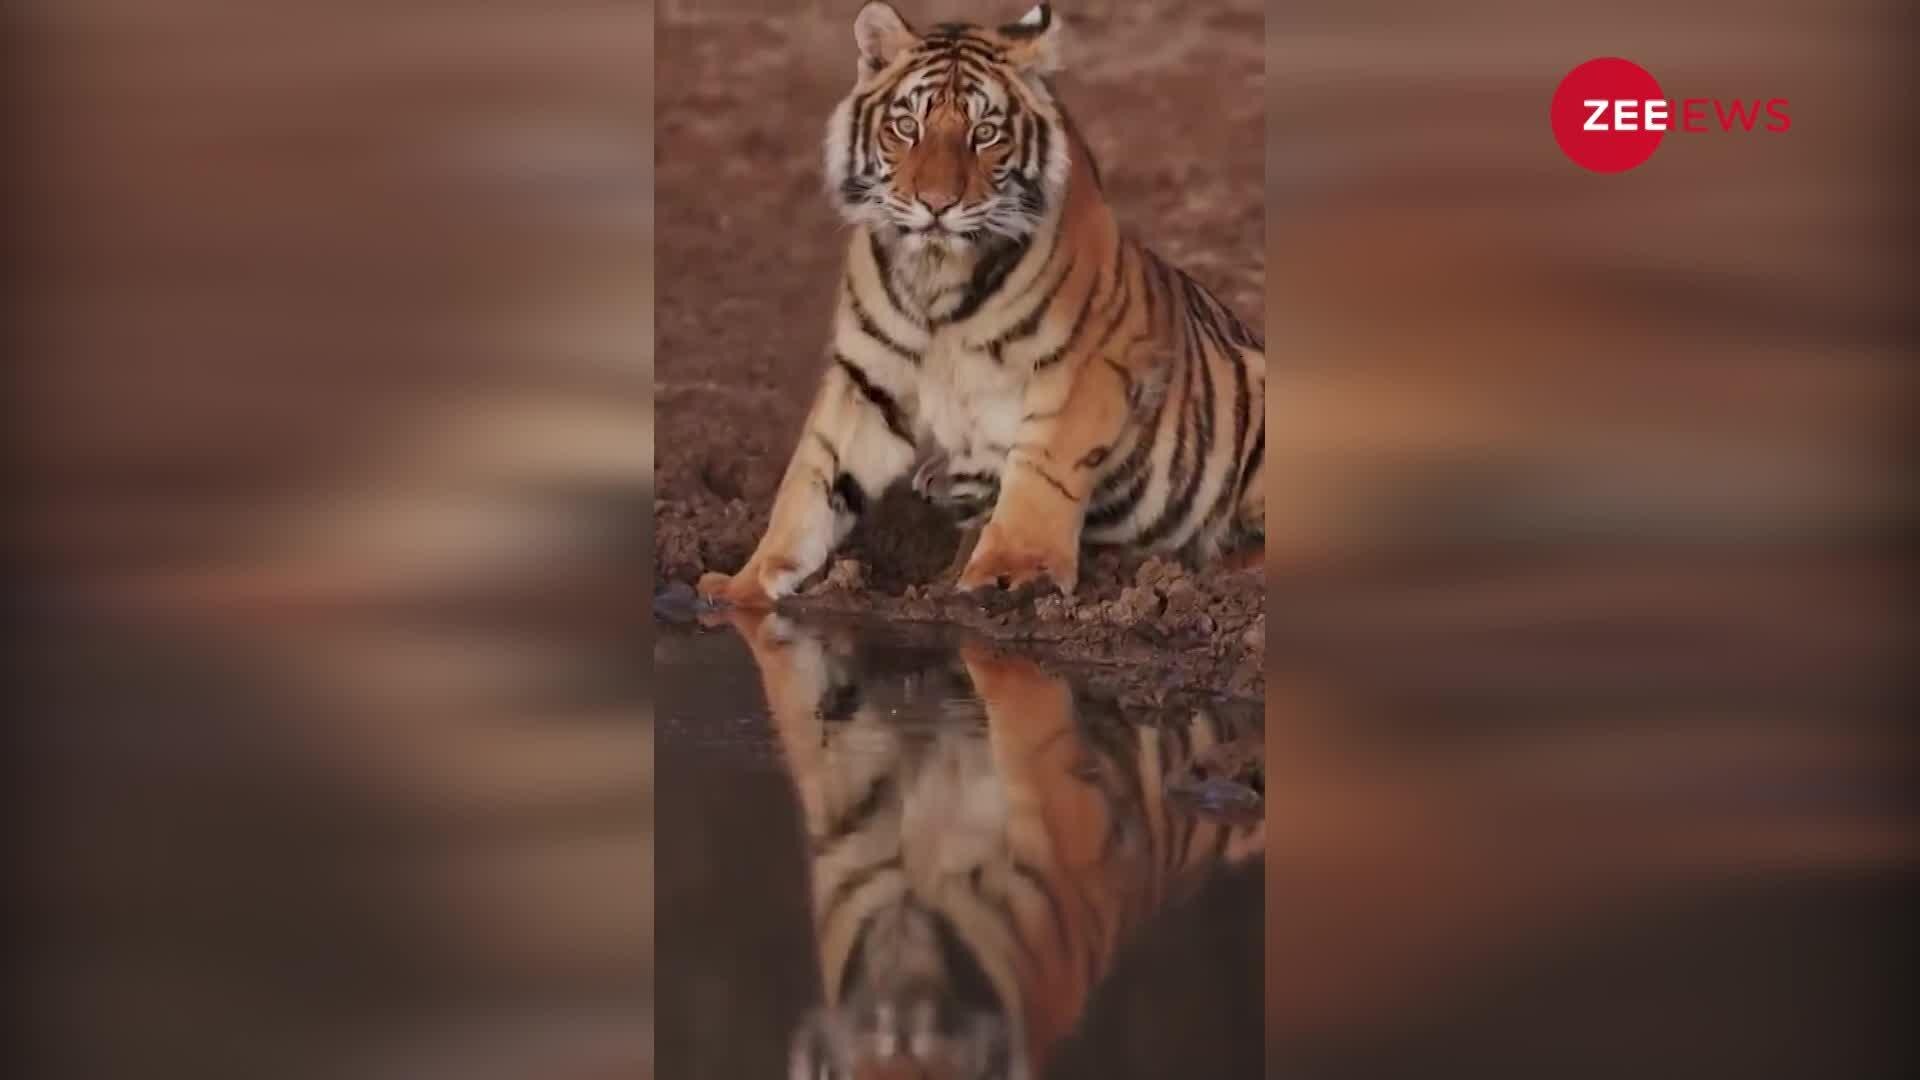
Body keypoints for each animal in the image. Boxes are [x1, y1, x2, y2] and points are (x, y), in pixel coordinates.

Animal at [698, 2, 1265, 610]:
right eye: (907, 126)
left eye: (985, 133)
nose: (935, 205)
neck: (937, 280)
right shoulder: (869, 376)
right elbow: (810, 479)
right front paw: (742, 587)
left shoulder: (1080, 366)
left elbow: (1042, 472)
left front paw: (1009, 574)